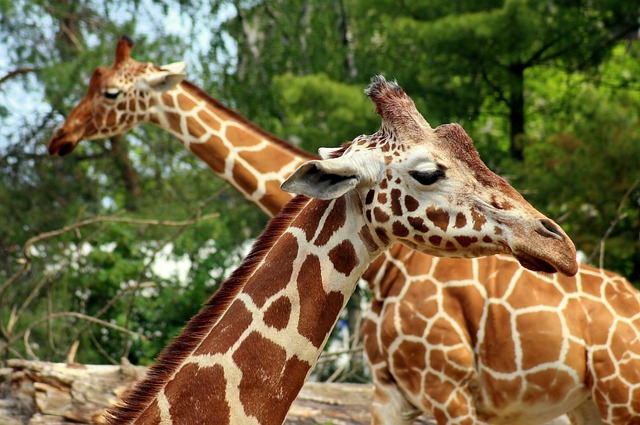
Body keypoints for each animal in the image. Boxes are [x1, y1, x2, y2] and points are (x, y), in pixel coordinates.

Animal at [46, 37, 637, 424]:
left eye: (111, 94)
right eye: (428, 172)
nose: (557, 242)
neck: (394, 271)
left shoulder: (447, 390)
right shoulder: (396, 394)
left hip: (618, 398)